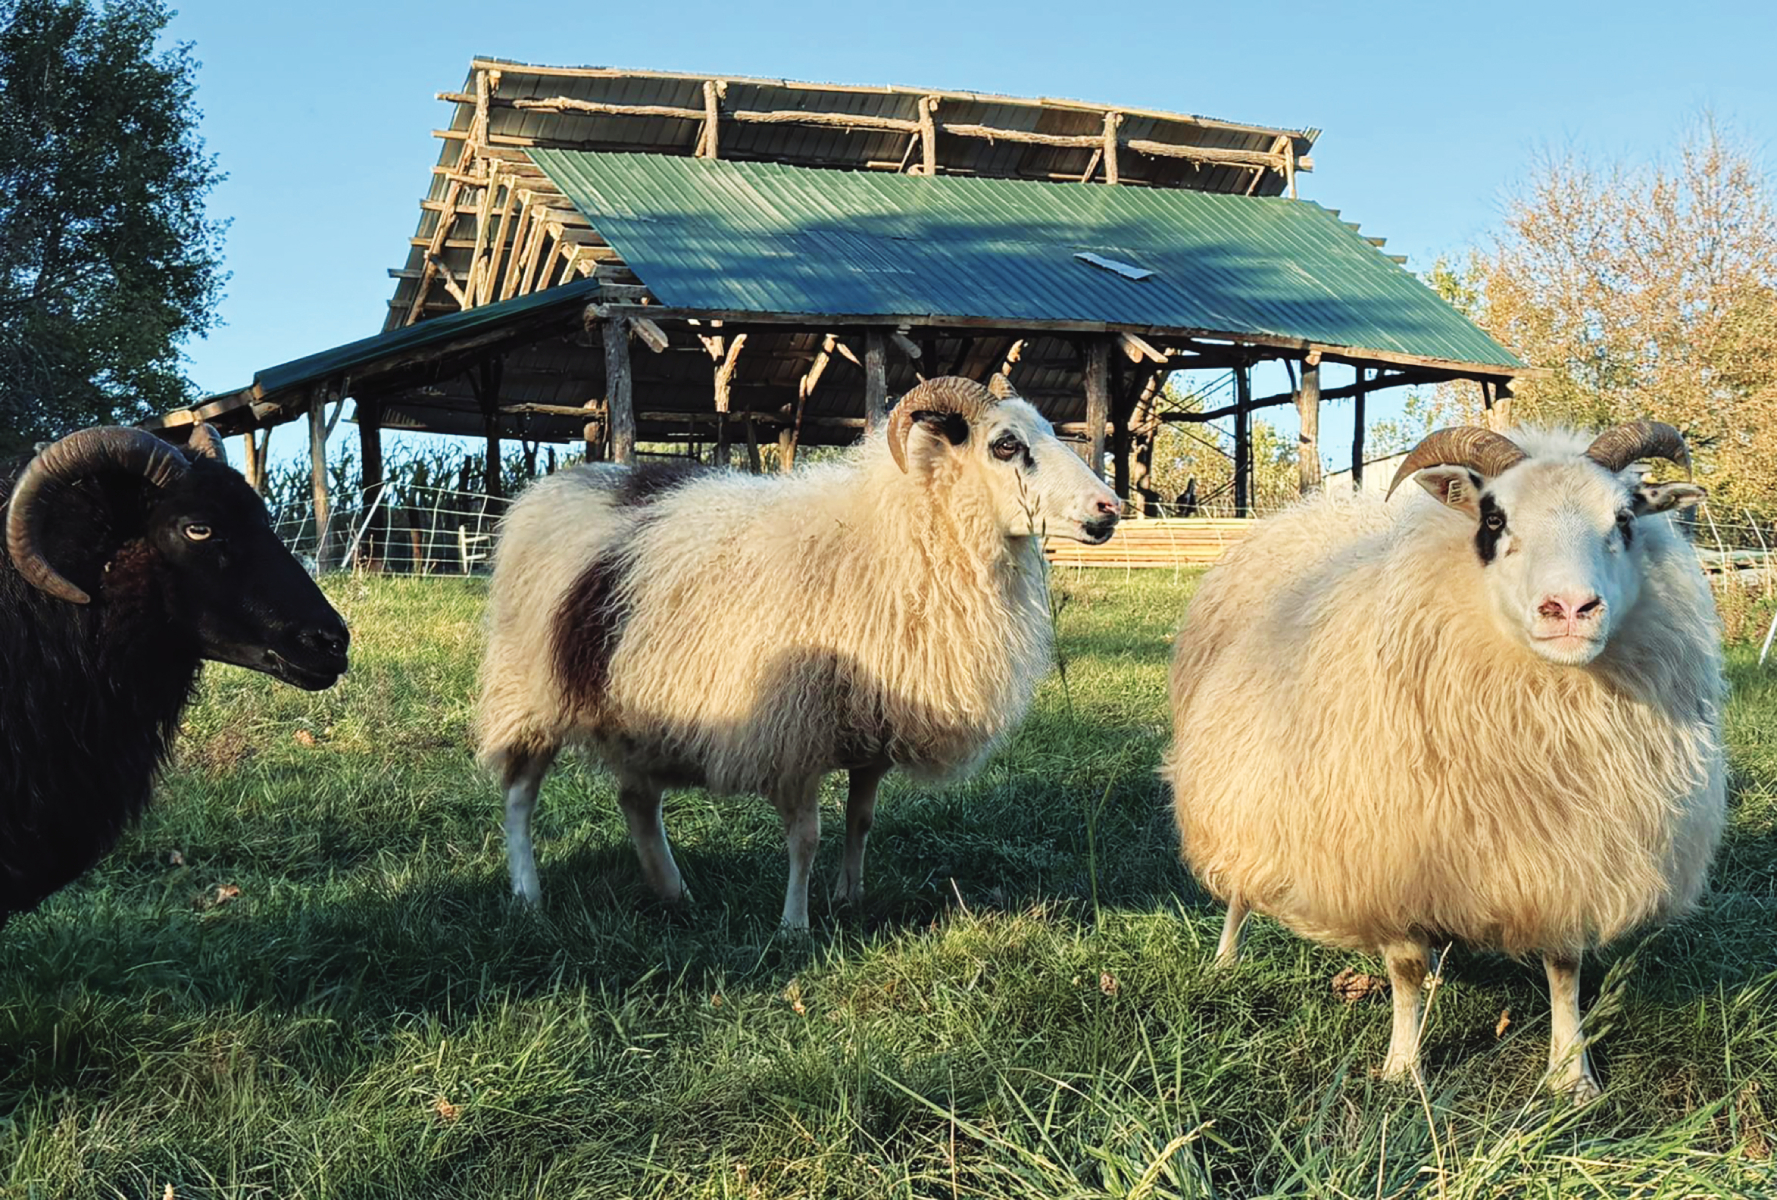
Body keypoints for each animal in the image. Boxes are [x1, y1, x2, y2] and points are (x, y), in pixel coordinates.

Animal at [479, 375, 1121, 930]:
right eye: (1006, 445)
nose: (1109, 509)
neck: (897, 534)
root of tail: (555, 485)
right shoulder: (796, 728)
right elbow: (806, 838)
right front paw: (795, 925)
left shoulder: (871, 731)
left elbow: (861, 821)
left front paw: (849, 897)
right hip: (528, 690)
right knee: (519, 797)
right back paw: (528, 896)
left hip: (635, 703)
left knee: (636, 798)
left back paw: (674, 892)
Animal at [1163, 421, 1725, 1098]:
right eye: (1493, 518)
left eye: (1624, 518)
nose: (1569, 610)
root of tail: (1309, 515)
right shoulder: (1392, 857)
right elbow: (1403, 970)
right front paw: (1405, 1070)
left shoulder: (1567, 855)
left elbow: (1564, 969)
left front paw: (1572, 1075)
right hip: (1242, 787)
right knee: (1241, 885)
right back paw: (1227, 958)